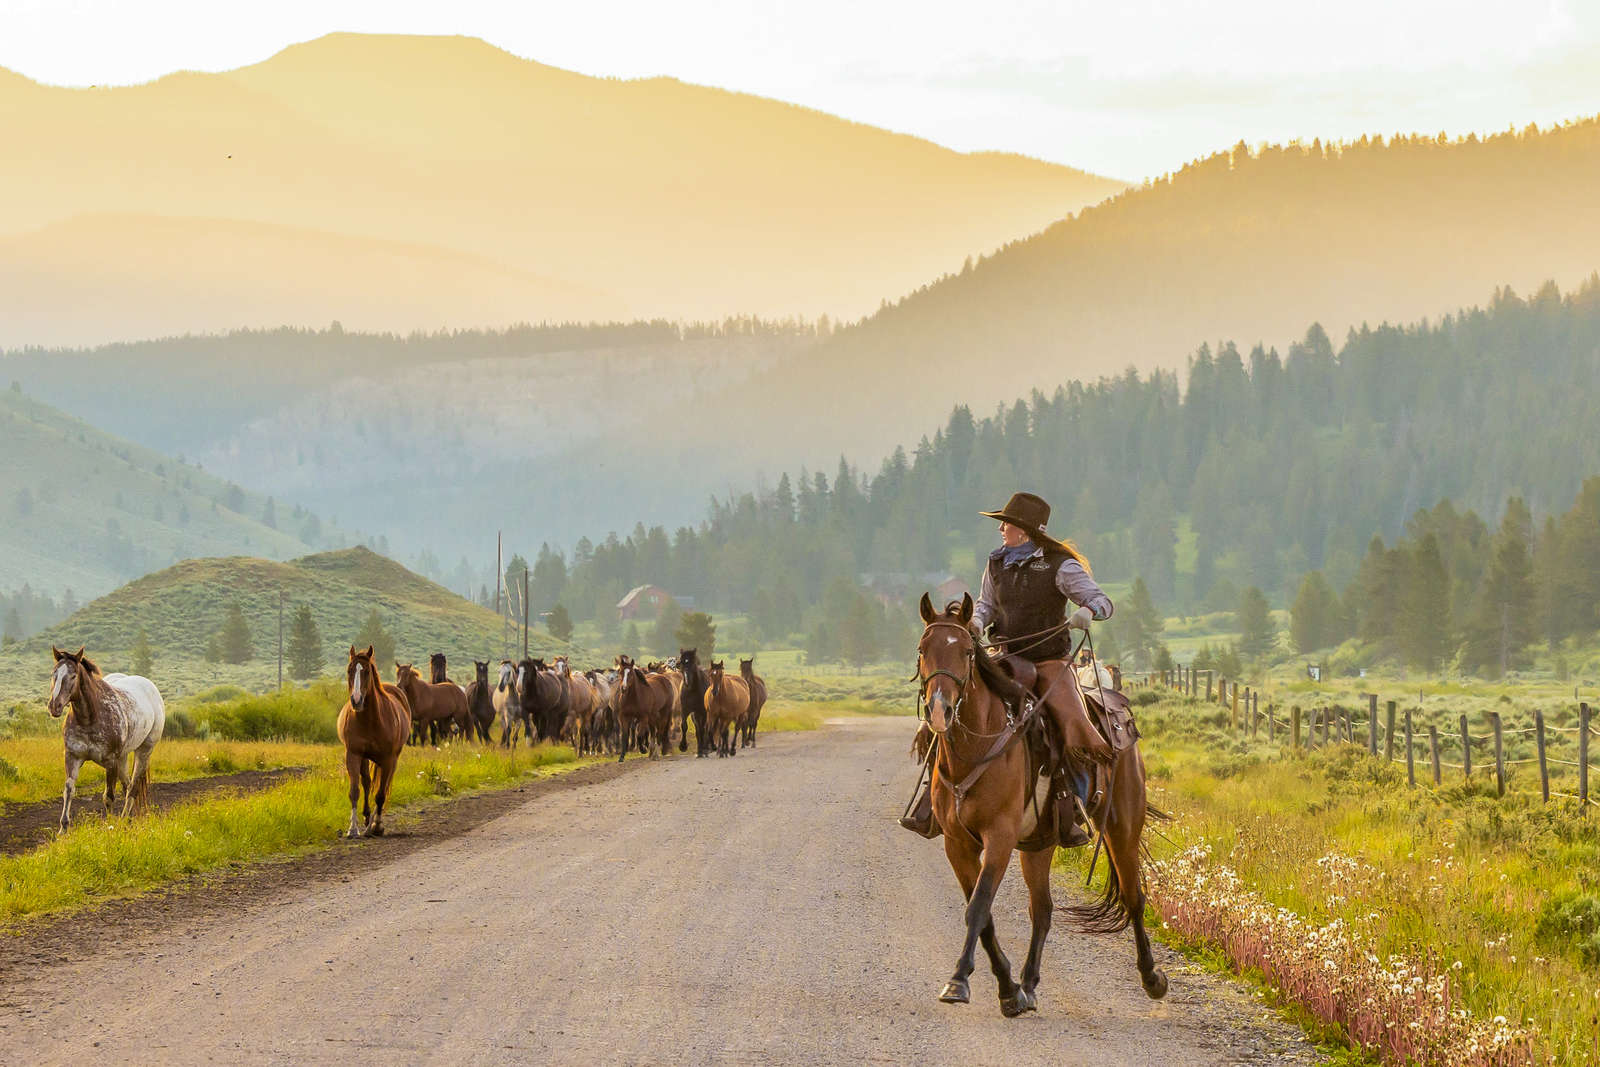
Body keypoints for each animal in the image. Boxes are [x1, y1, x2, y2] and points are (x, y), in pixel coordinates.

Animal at [46, 646, 166, 833]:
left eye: (73, 676)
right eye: (54, 674)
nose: (54, 706)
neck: (89, 718)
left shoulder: (110, 762)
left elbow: (108, 796)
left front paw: (109, 826)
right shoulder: (72, 757)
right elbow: (69, 790)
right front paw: (63, 829)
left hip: (144, 751)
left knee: (133, 788)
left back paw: (124, 819)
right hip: (123, 757)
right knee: (127, 785)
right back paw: (128, 818)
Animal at [337, 644, 411, 837]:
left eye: (367, 671)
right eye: (349, 670)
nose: (356, 700)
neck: (369, 720)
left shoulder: (387, 759)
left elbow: (380, 794)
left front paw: (377, 826)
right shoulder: (353, 755)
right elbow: (355, 791)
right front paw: (352, 828)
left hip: (392, 759)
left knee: (383, 786)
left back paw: (373, 822)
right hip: (364, 758)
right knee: (366, 782)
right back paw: (366, 817)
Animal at [914, 593, 1166, 1017]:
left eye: (966, 651)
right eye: (922, 650)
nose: (939, 710)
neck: (978, 747)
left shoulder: (999, 837)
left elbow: (978, 907)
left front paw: (959, 980)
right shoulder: (957, 844)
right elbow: (984, 915)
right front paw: (1008, 989)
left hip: (1121, 827)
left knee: (1133, 897)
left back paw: (1152, 977)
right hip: (1039, 842)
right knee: (1043, 909)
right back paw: (1029, 984)